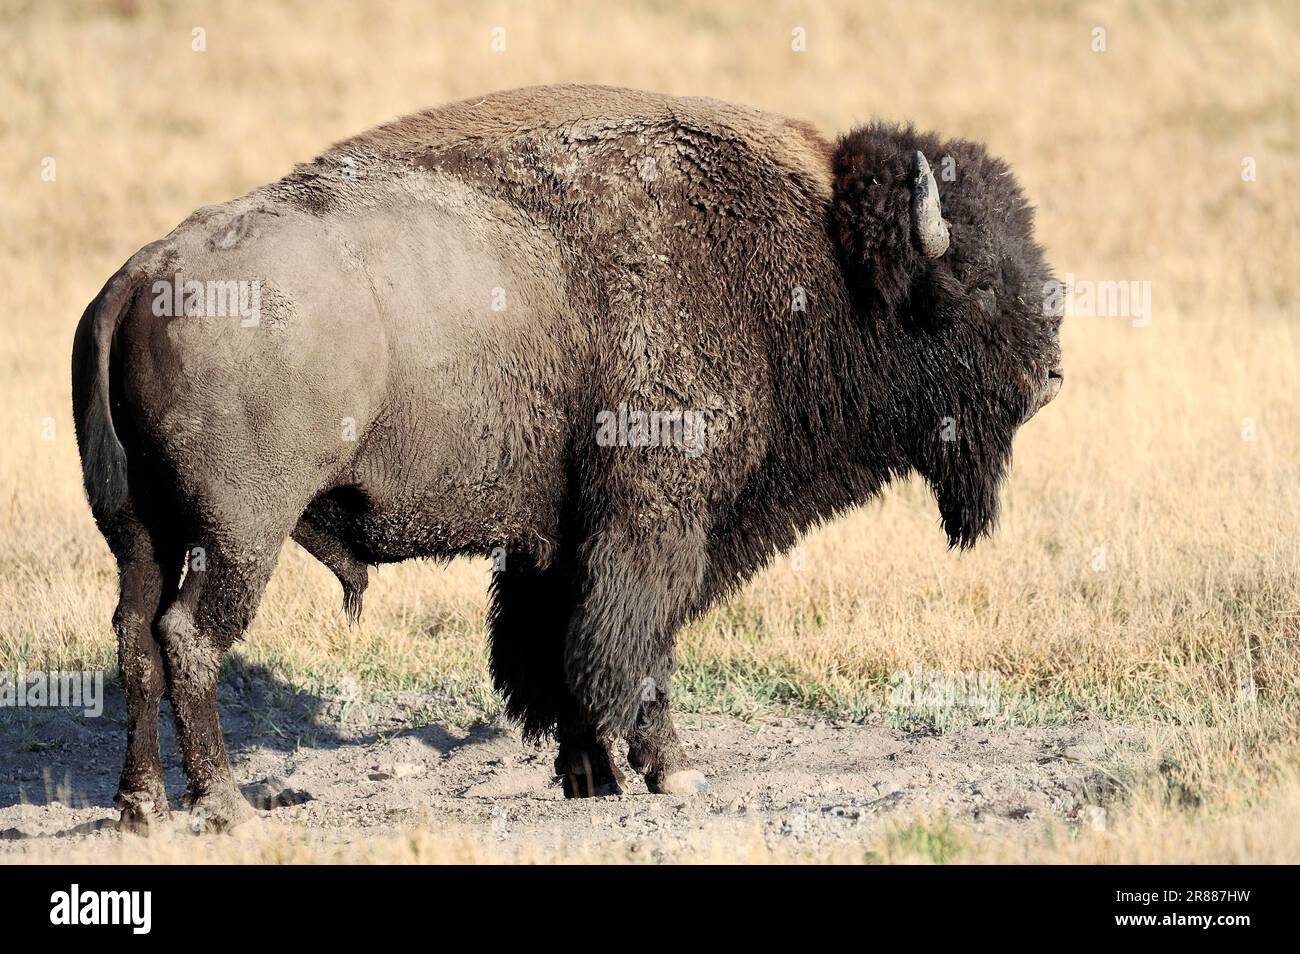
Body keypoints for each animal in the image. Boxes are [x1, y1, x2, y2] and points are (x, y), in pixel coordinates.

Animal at [72, 84, 1062, 831]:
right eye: (972, 278)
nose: (1051, 370)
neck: (809, 260)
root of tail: (139, 276)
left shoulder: (559, 540)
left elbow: (559, 649)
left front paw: (591, 777)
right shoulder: (657, 524)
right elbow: (633, 644)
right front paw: (670, 772)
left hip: (140, 534)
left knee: (134, 637)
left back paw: (142, 810)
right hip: (243, 532)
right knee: (189, 638)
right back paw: (228, 808)